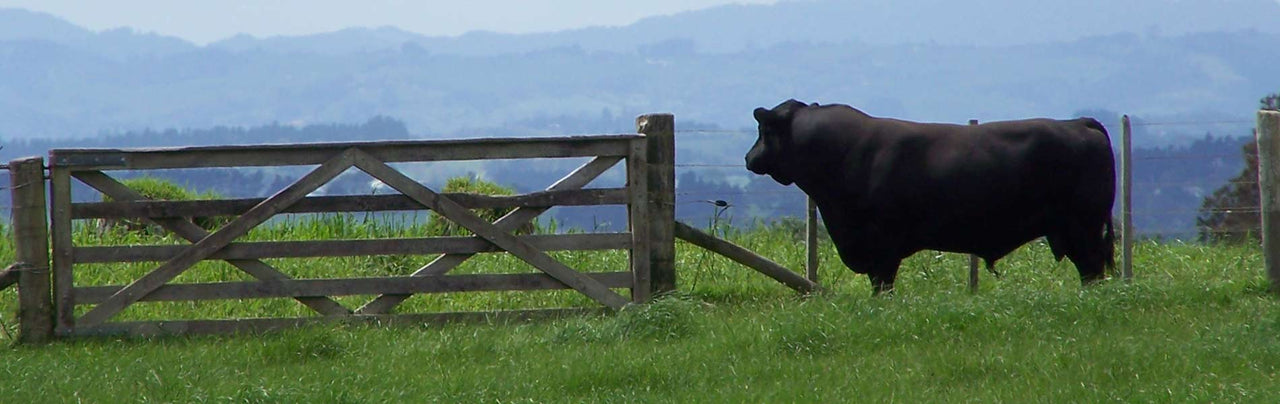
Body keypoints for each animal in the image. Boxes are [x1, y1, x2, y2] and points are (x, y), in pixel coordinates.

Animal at [745, 99, 1115, 295]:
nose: (749, 158)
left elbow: (882, 285)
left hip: (1083, 226)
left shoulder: (882, 245)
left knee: (1093, 268)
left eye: (763, 131)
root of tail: (1079, 122)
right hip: (1070, 230)